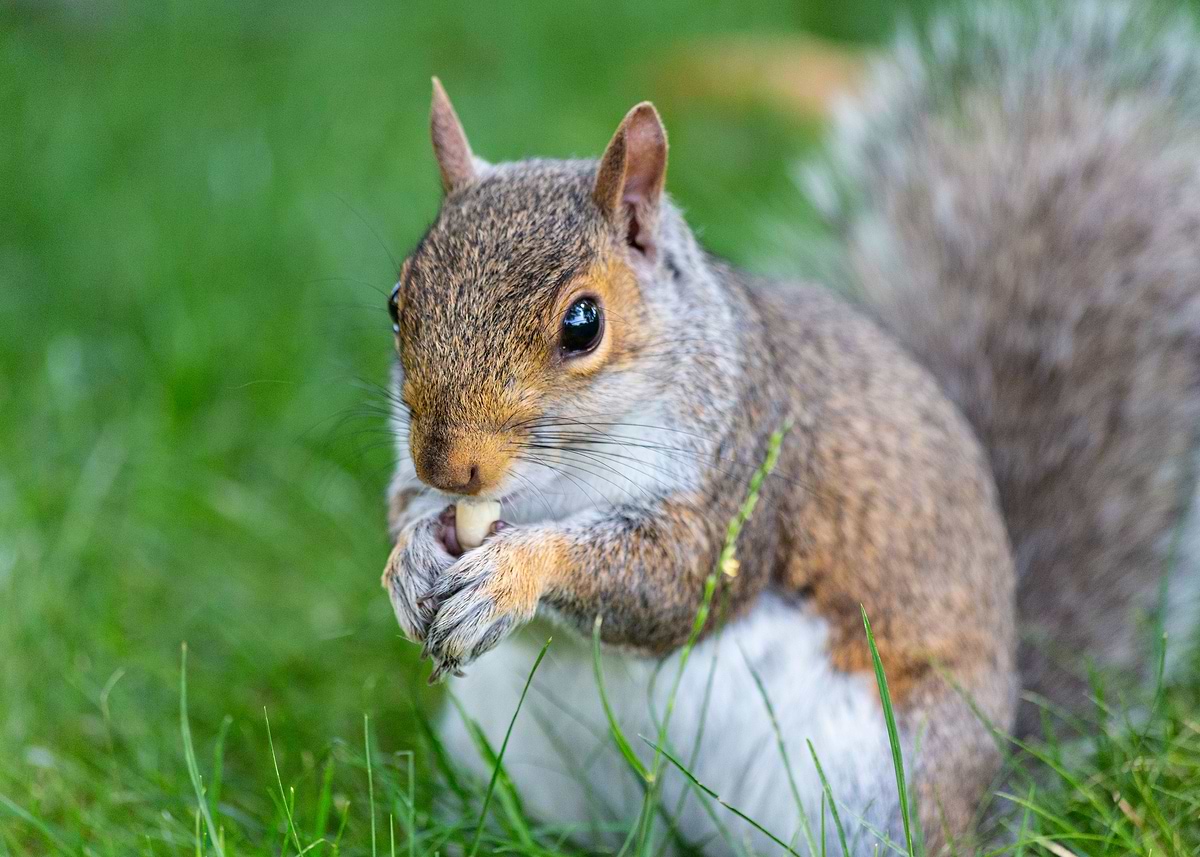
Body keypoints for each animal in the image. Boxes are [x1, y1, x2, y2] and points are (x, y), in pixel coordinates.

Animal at [380, 2, 1200, 853]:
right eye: (398, 301)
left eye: (584, 323)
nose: (450, 465)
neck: (560, 474)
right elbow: (403, 506)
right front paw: (410, 558)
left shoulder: (744, 468)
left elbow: (678, 581)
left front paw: (514, 571)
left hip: (875, 784)